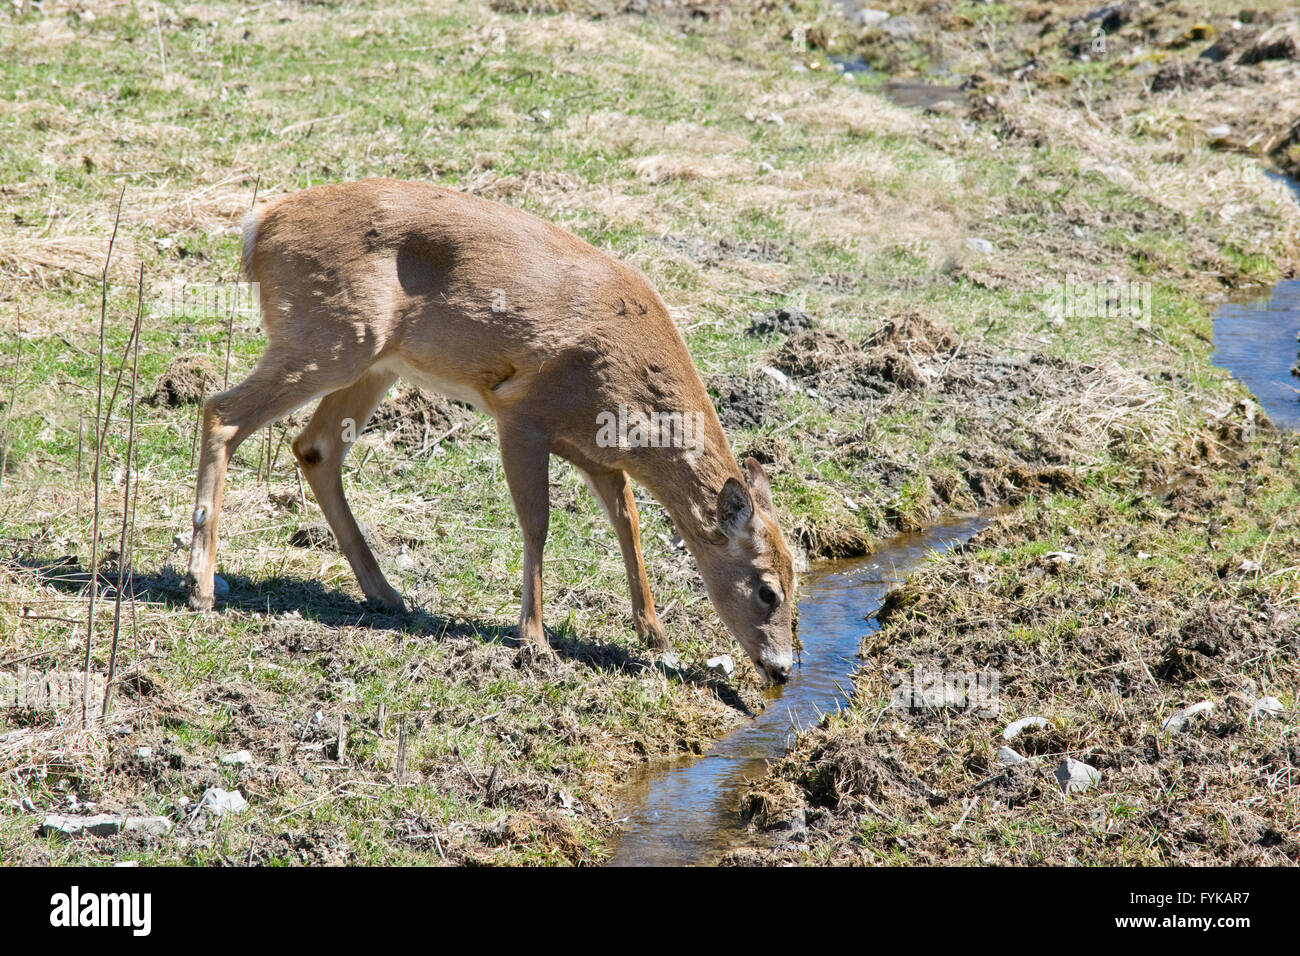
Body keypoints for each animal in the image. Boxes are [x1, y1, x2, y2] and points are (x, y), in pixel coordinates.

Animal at [185, 179, 797, 683]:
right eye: (766, 590)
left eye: (796, 581)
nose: (784, 668)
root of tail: (259, 225)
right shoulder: (521, 412)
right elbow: (538, 525)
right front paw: (535, 640)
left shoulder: (598, 454)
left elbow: (630, 522)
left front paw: (654, 635)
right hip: (330, 337)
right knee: (222, 411)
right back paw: (201, 586)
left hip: (373, 361)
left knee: (315, 448)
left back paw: (385, 593)